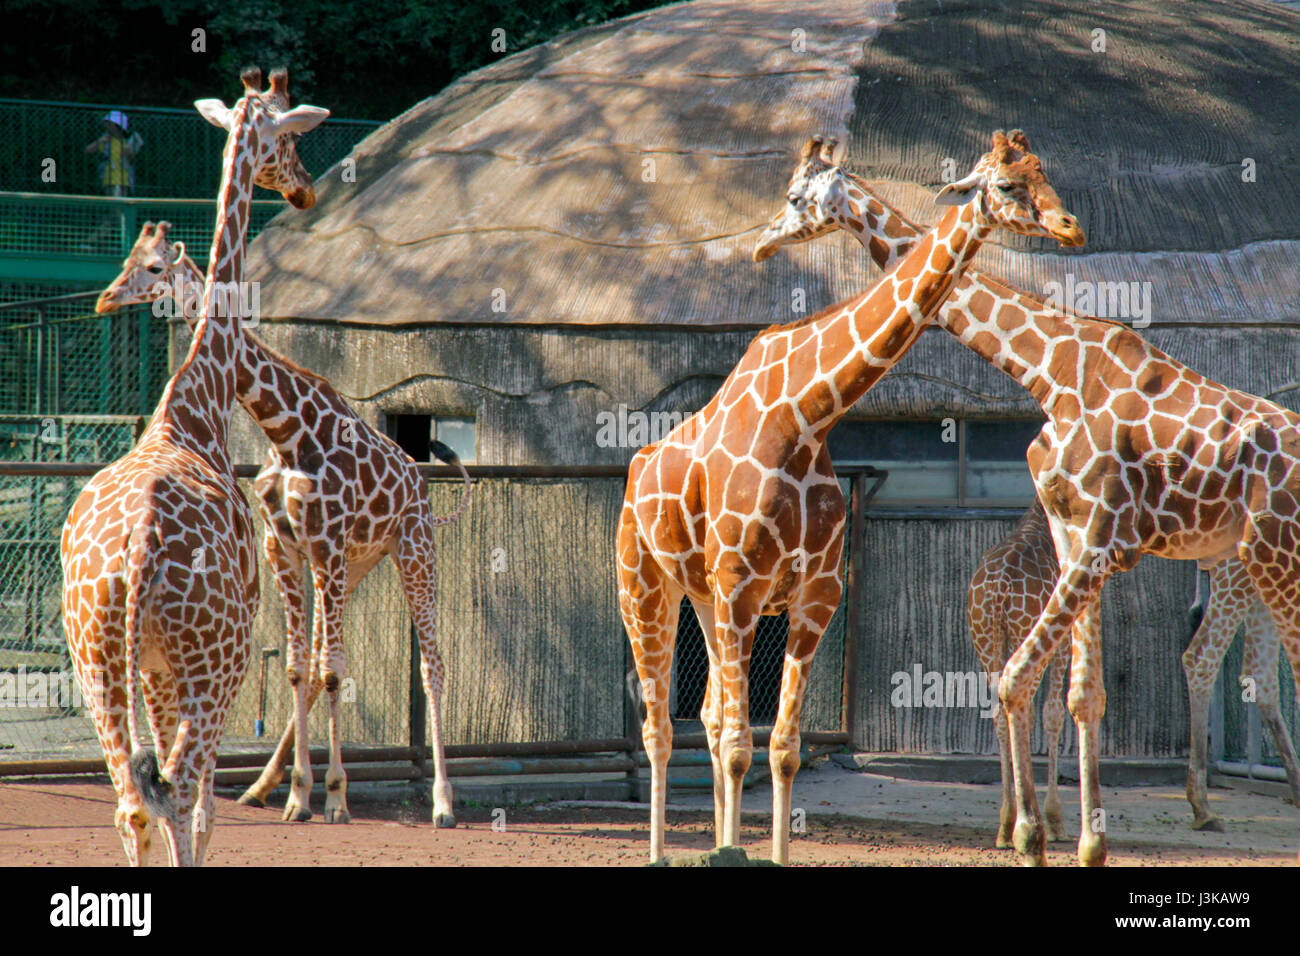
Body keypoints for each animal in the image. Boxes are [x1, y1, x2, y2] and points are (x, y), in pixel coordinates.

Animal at [60, 67, 327, 866]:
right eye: (290, 137)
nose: (305, 190)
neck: (196, 401)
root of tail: (138, 555)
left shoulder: (149, 668)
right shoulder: (213, 658)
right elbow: (205, 808)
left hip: (99, 664)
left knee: (131, 801)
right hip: (211, 659)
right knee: (178, 792)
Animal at [96, 221, 473, 828]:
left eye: (154, 267)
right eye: (128, 259)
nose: (107, 298)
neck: (286, 430)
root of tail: (419, 482)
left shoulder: (329, 543)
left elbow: (336, 671)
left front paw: (336, 798)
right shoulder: (288, 549)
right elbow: (301, 669)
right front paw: (299, 795)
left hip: (413, 549)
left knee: (431, 665)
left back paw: (441, 802)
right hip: (356, 565)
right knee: (320, 662)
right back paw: (262, 786)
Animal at [619, 130, 1084, 864]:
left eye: (1043, 175)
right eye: (1008, 186)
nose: (1069, 227)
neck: (806, 416)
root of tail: (637, 468)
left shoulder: (814, 594)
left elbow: (781, 747)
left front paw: (765, 850)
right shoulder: (743, 587)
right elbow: (738, 744)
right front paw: (731, 849)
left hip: (701, 595)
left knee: (706, 714)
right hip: (643, 583)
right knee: (661, 725)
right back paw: (664, 850)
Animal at [755, 135, 1300, 866]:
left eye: (794, 197)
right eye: (1011, 183)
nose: (1070, 228)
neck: (1051, 371)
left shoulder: (1102, 538)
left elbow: (1020, 683)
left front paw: (1031, 835)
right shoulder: (1077, 538)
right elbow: (1082, 696)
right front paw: (1086, 842)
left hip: (1272, 554)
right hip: (1259, 564)